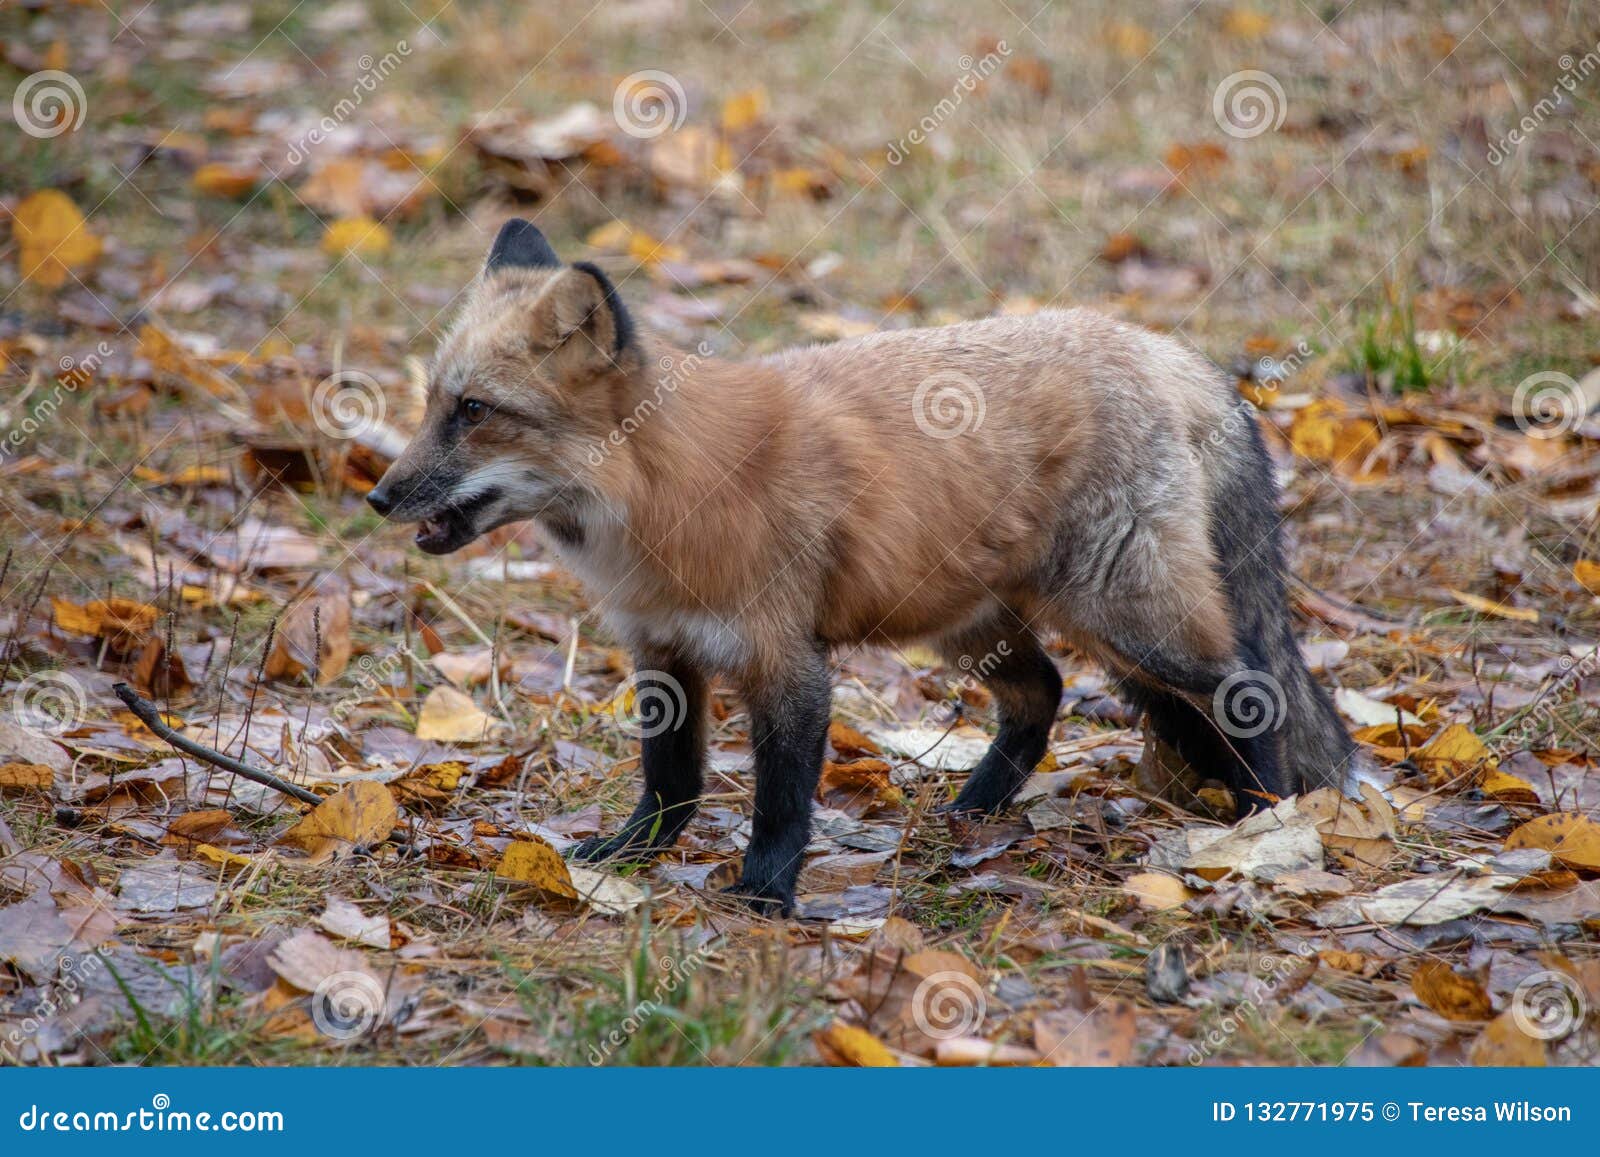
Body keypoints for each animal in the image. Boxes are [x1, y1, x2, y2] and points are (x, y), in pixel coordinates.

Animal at [367, 218, 1363, 914]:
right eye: (430, 402)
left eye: (473, 410)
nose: (378, 495)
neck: (664, 493)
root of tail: (1163, 348)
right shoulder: (663, 649)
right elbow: (670, 782)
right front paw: (631, 859)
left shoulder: (786, 660)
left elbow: (779, 803)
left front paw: (764, 896)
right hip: (975, 622)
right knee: (1043, 693)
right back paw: (976, 809)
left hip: (1126, 617)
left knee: (1246, 687)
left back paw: (1263, 817)